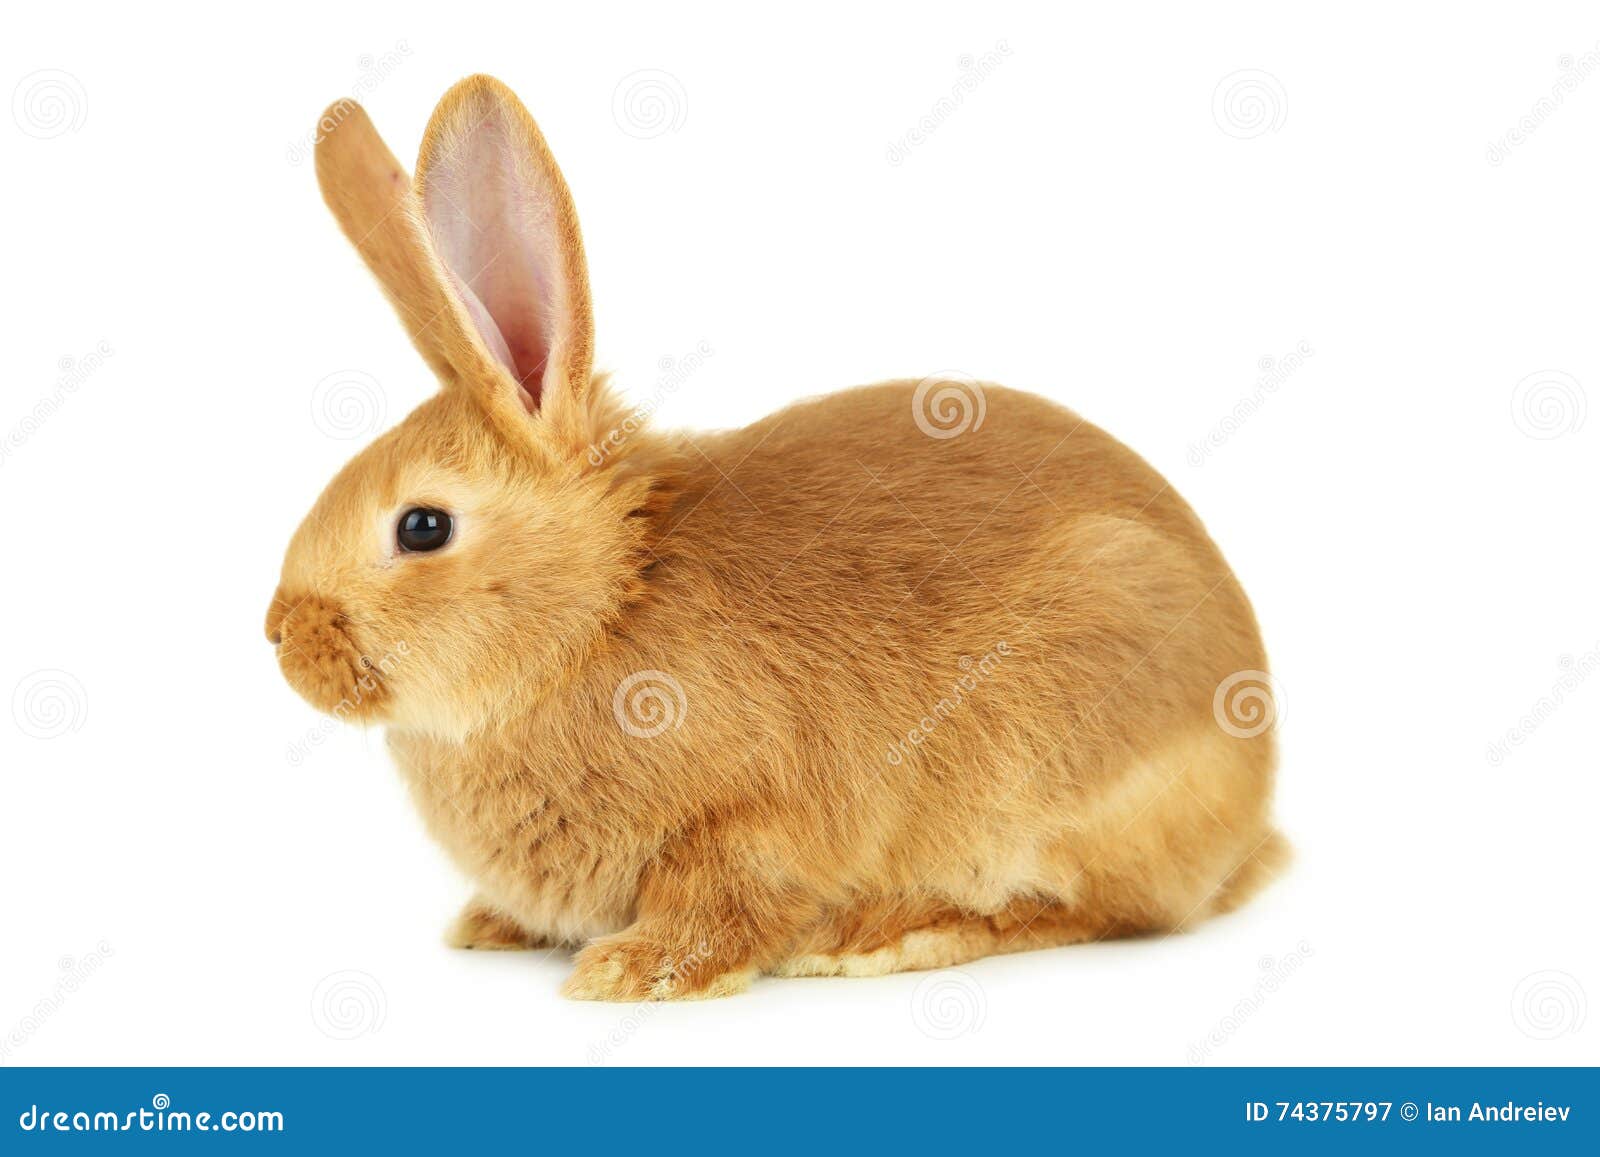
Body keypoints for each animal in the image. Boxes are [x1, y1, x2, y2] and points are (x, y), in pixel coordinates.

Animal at [267, 74, 1287, 1001]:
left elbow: (722, 899)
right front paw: (495, 925)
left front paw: (631, 972)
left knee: (1092, 906)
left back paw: (886, 934)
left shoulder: (748, 819)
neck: (605, 605)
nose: (280, 634)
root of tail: (1253, 799)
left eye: (423, 526)